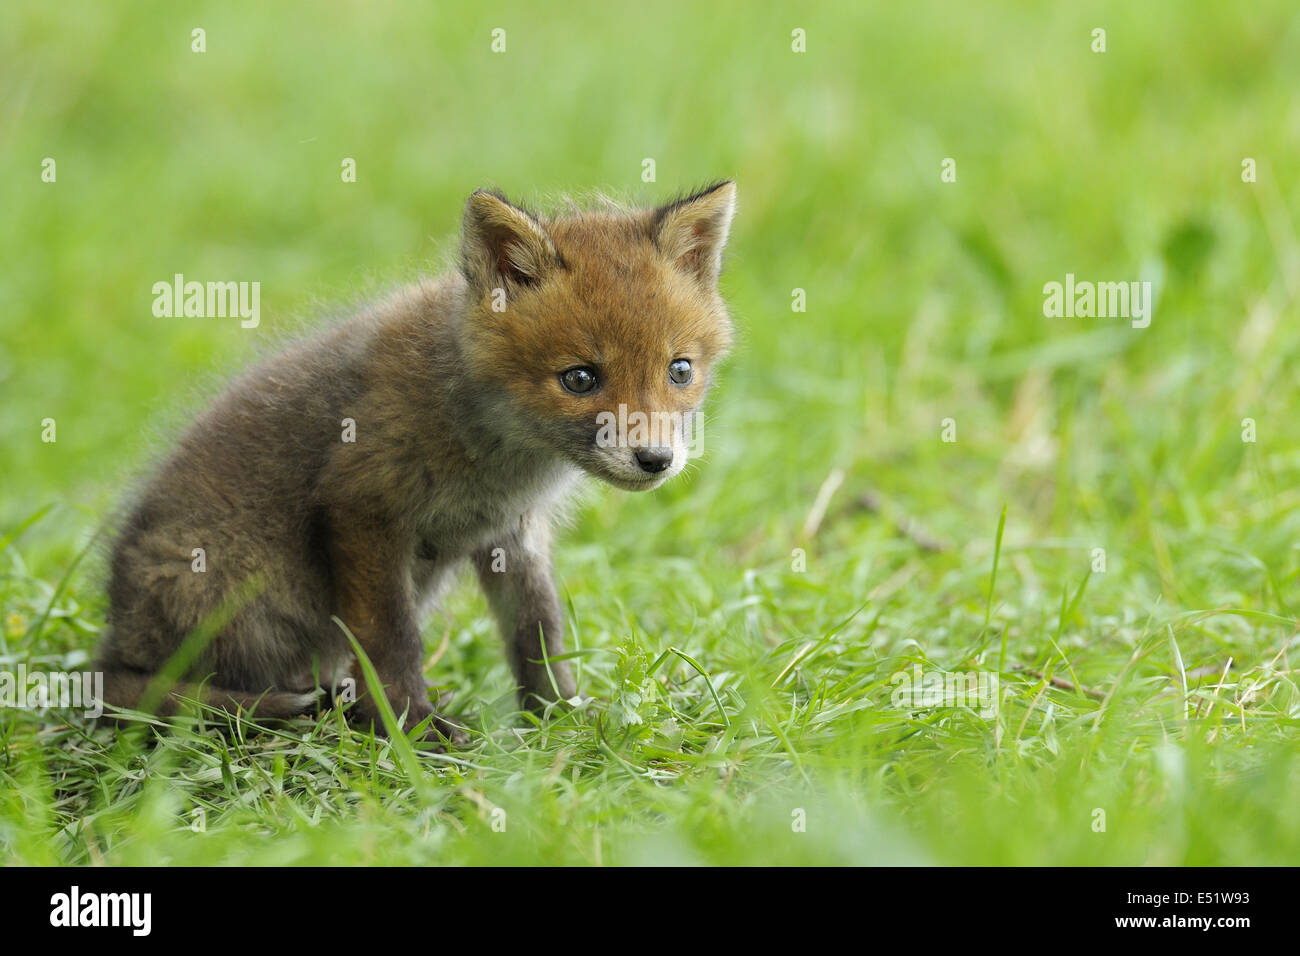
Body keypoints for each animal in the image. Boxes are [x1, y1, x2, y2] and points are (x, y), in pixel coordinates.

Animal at [94, 181, 737, 745]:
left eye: (680, 370)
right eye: (579, 378)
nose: (655, 459)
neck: (500, 453)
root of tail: (117, 625)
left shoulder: (512, 530)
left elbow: (538, 631)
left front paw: (560, 713)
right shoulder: (362, 505)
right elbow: (392, 639)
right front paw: (411, 728)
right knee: (138, 689)